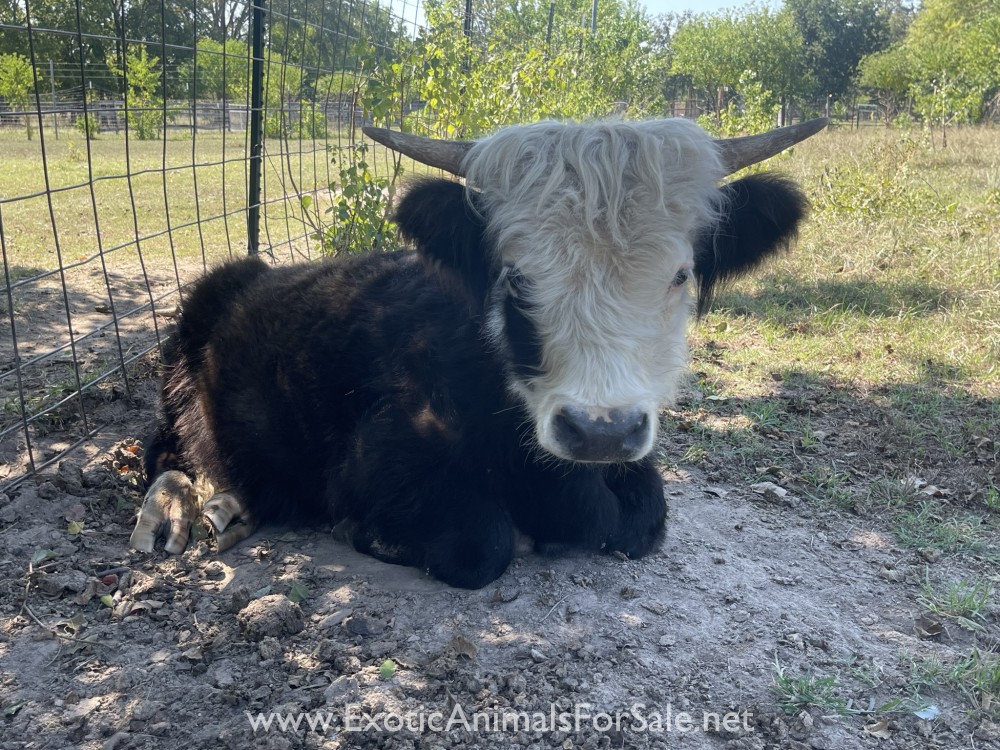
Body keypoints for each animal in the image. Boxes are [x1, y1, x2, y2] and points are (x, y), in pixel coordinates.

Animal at [129, 117, 827, 589]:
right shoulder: (374, 462)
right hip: (180, 378)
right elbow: (484, 541)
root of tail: (249, 270)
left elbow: (645, 518)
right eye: (515, 278)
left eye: (680, 275)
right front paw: (368, 534)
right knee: (166, 449)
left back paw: (229, 510)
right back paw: (174, 514)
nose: (600, 431)